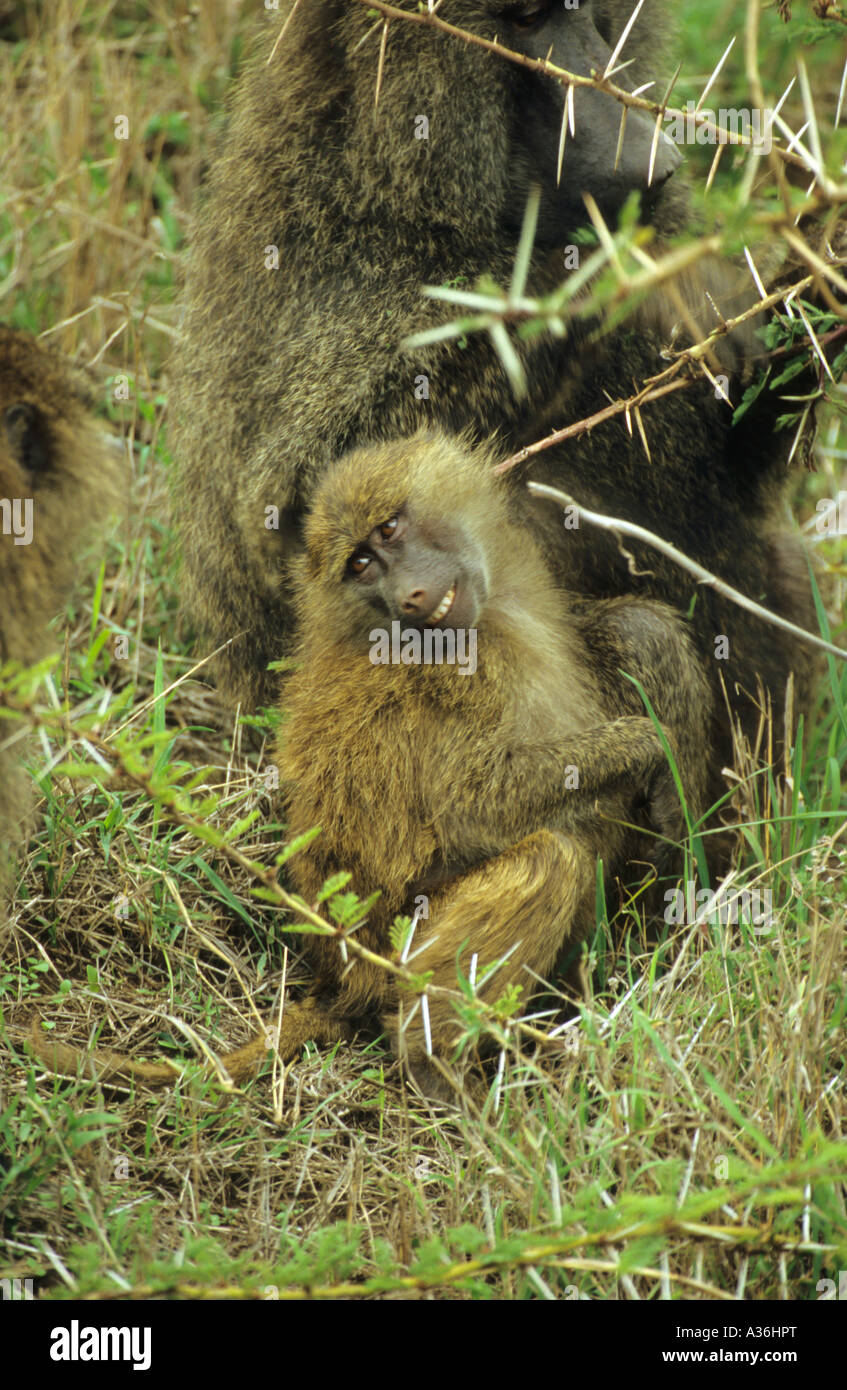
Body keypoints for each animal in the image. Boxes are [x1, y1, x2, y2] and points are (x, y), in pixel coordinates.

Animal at [31, 431, 713, 1097]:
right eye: (358, 565)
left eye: (388, 530)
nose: (409, 594)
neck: (495, 616)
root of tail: (343, 975)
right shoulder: (456, 682)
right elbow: (472, 808)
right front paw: (648, 747)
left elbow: (638, 631)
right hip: (401, 943)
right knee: (549, 861)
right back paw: (430, 1063)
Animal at [170, 0, 825, 814]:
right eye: (522, 21)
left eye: (592, 18)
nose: (649, 159)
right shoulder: (323, 277)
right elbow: (296, 513)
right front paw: (625, 281)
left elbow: (732, 480)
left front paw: (814, 271)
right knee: (638, 634)